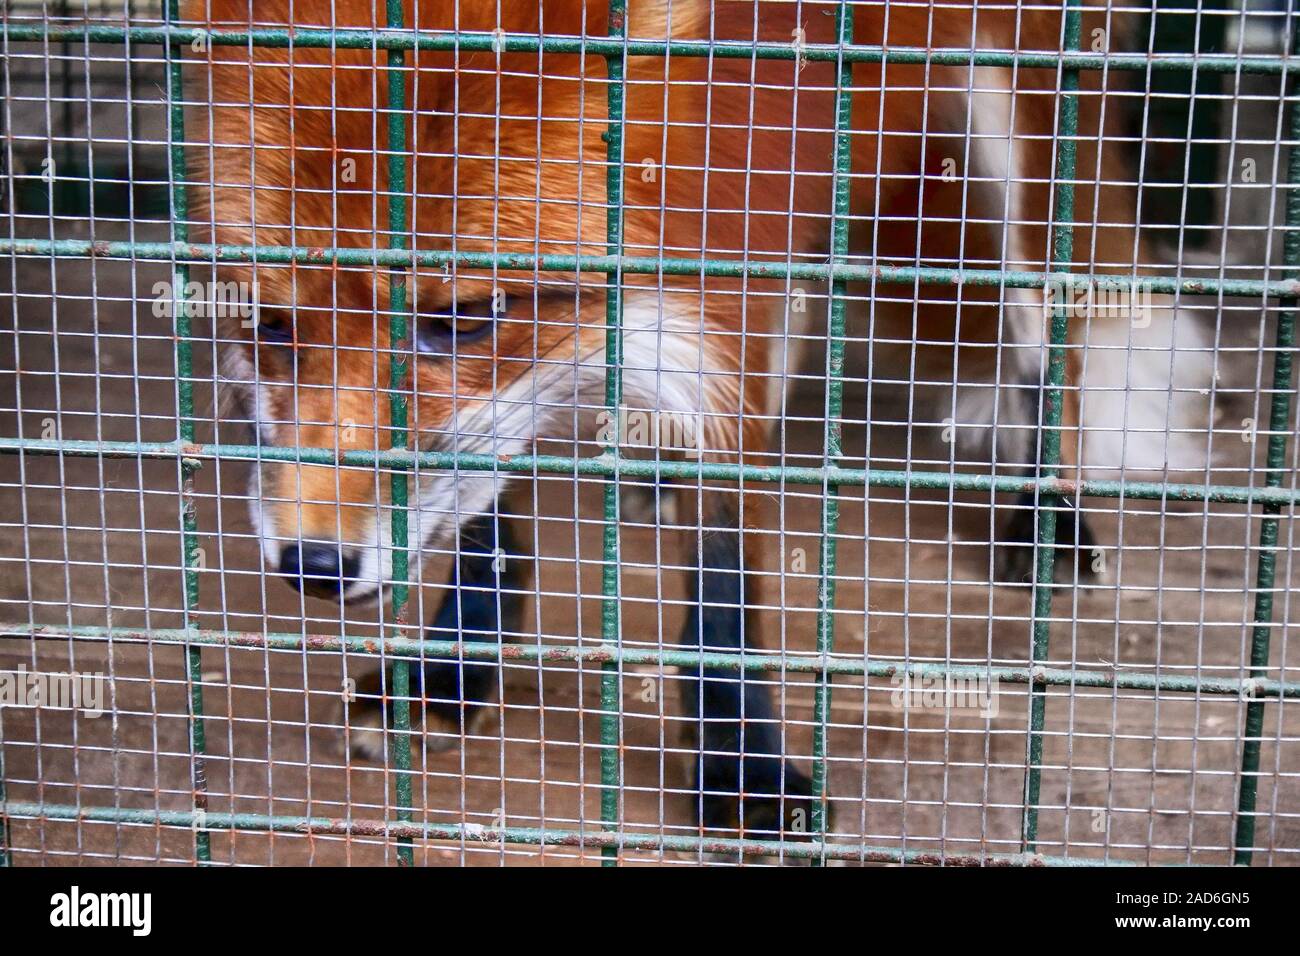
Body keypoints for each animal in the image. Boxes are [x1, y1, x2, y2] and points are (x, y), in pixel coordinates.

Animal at [189, 0, 1209, 838]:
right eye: (268, 322)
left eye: (464, 317)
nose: (314, 566)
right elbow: (490, 509)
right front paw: (452, 669)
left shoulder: (724, 288)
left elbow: (723, 577)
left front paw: (744, 769)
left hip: (1015, 116)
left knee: (1045, 336)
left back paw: (1049, 519)